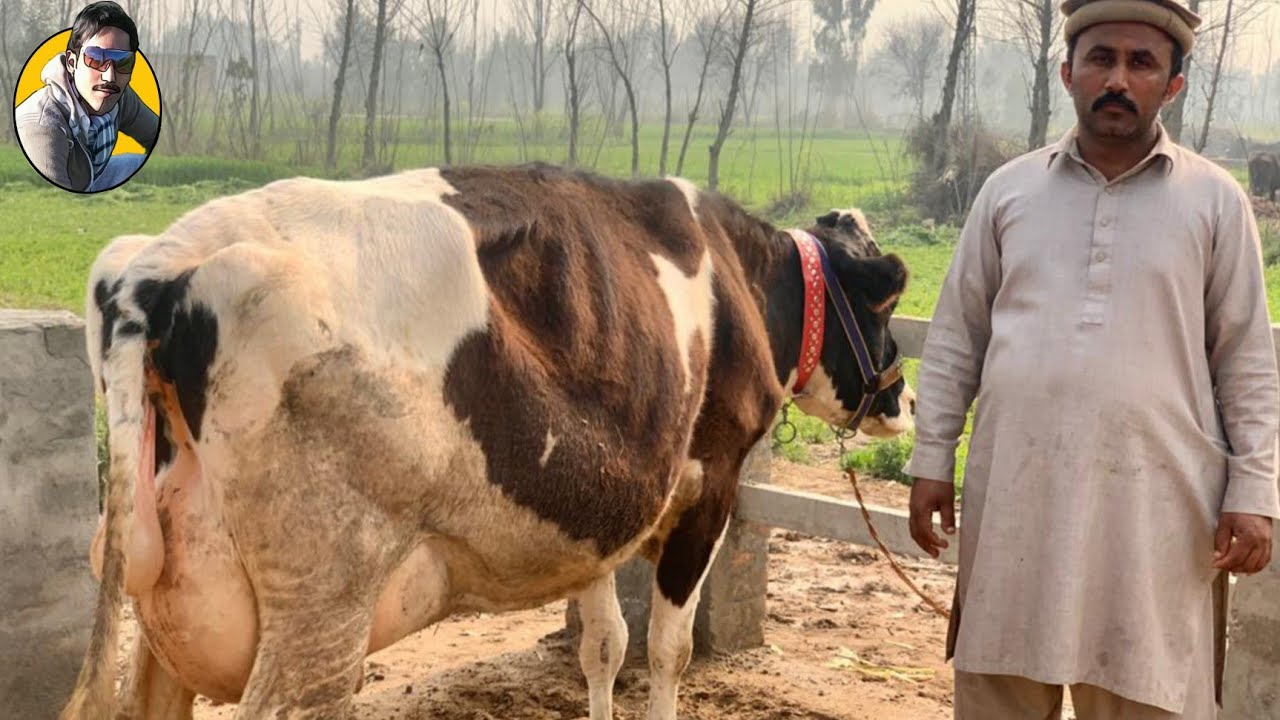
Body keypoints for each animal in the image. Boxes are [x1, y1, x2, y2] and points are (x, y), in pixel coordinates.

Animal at [63, 164, 912, 720]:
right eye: (884, 304)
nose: (902, 400)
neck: (741, 278)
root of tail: (160, 265)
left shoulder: (594, 517)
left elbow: (604, 644)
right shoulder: (713, 484)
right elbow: (666, 648)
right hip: (320, 608)